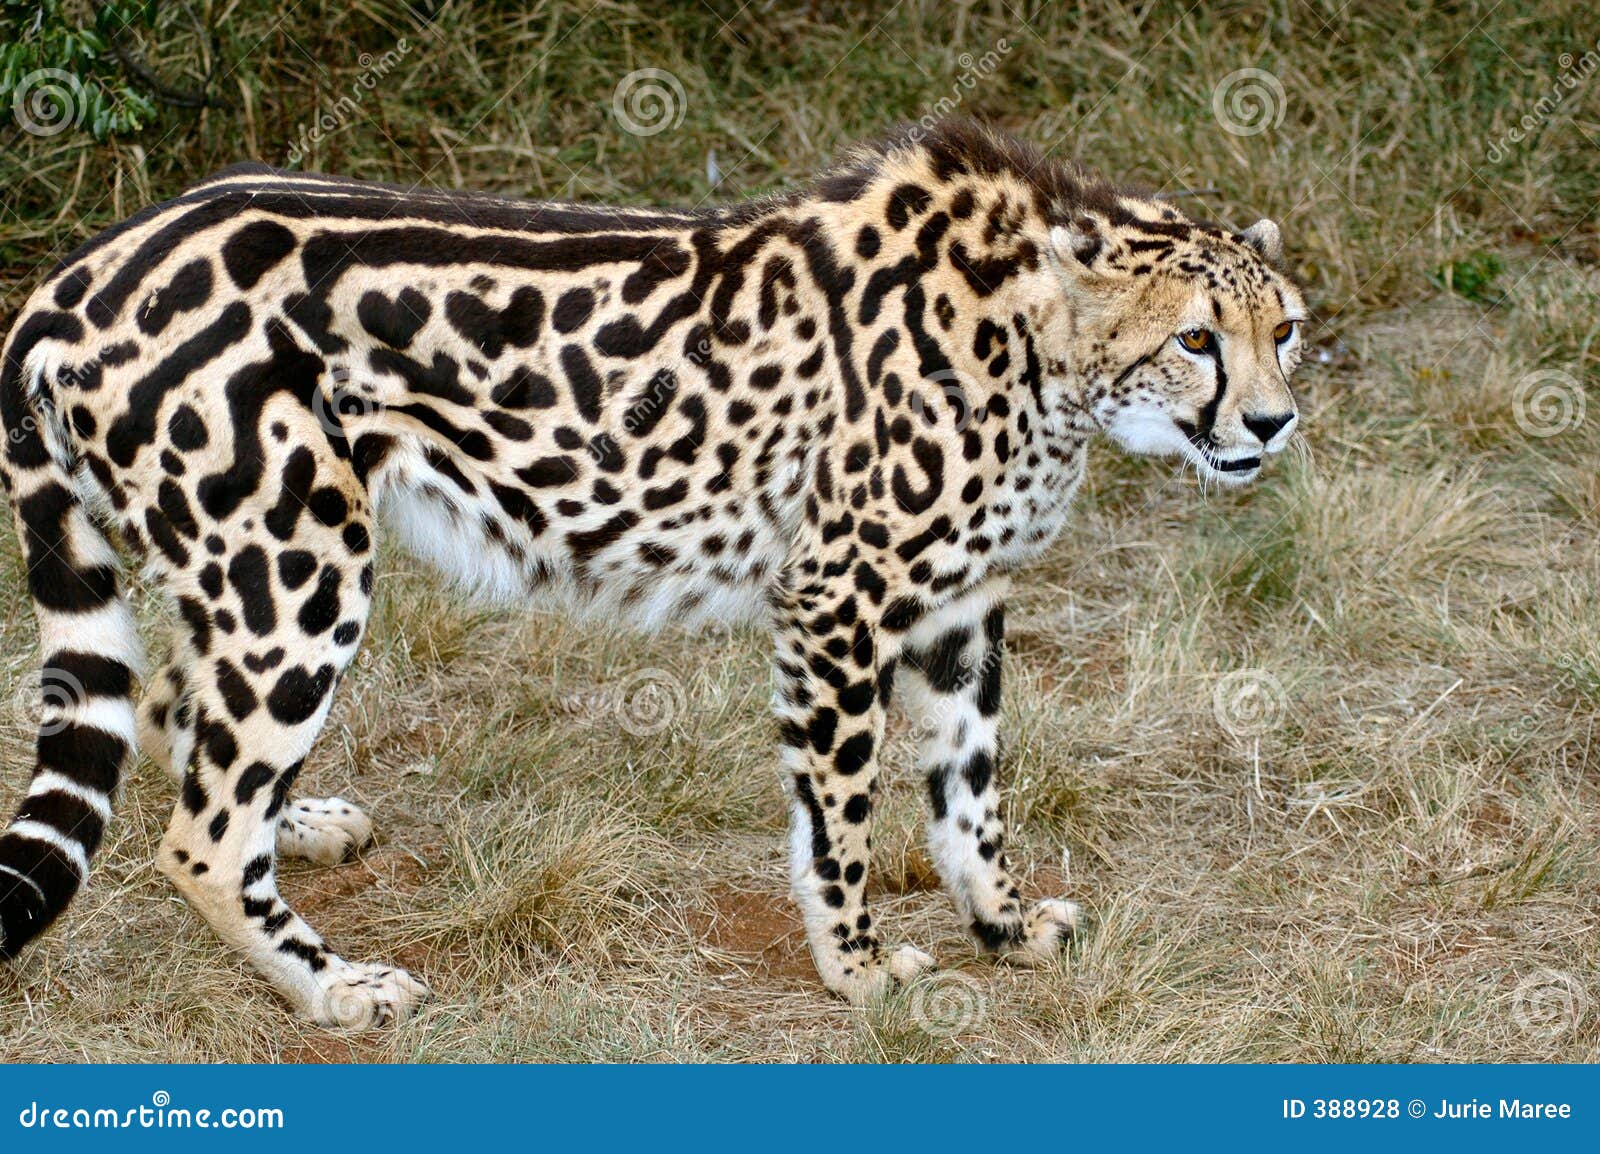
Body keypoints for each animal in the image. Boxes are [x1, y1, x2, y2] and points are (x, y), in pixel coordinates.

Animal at [0, 118, 1304, 1027]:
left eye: (1280, 328)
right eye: (1195, 338)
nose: (1274, 421)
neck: (1033, 334)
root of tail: (75, 275)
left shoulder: (959, 600)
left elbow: (968, 790)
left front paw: (1005, 921)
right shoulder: (837, 599)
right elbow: (840, 812)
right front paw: (859, 966)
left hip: (238, 569)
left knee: (184, 716)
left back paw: (305, 822)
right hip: (297, 566)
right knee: (203, 836)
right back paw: (335, 987)